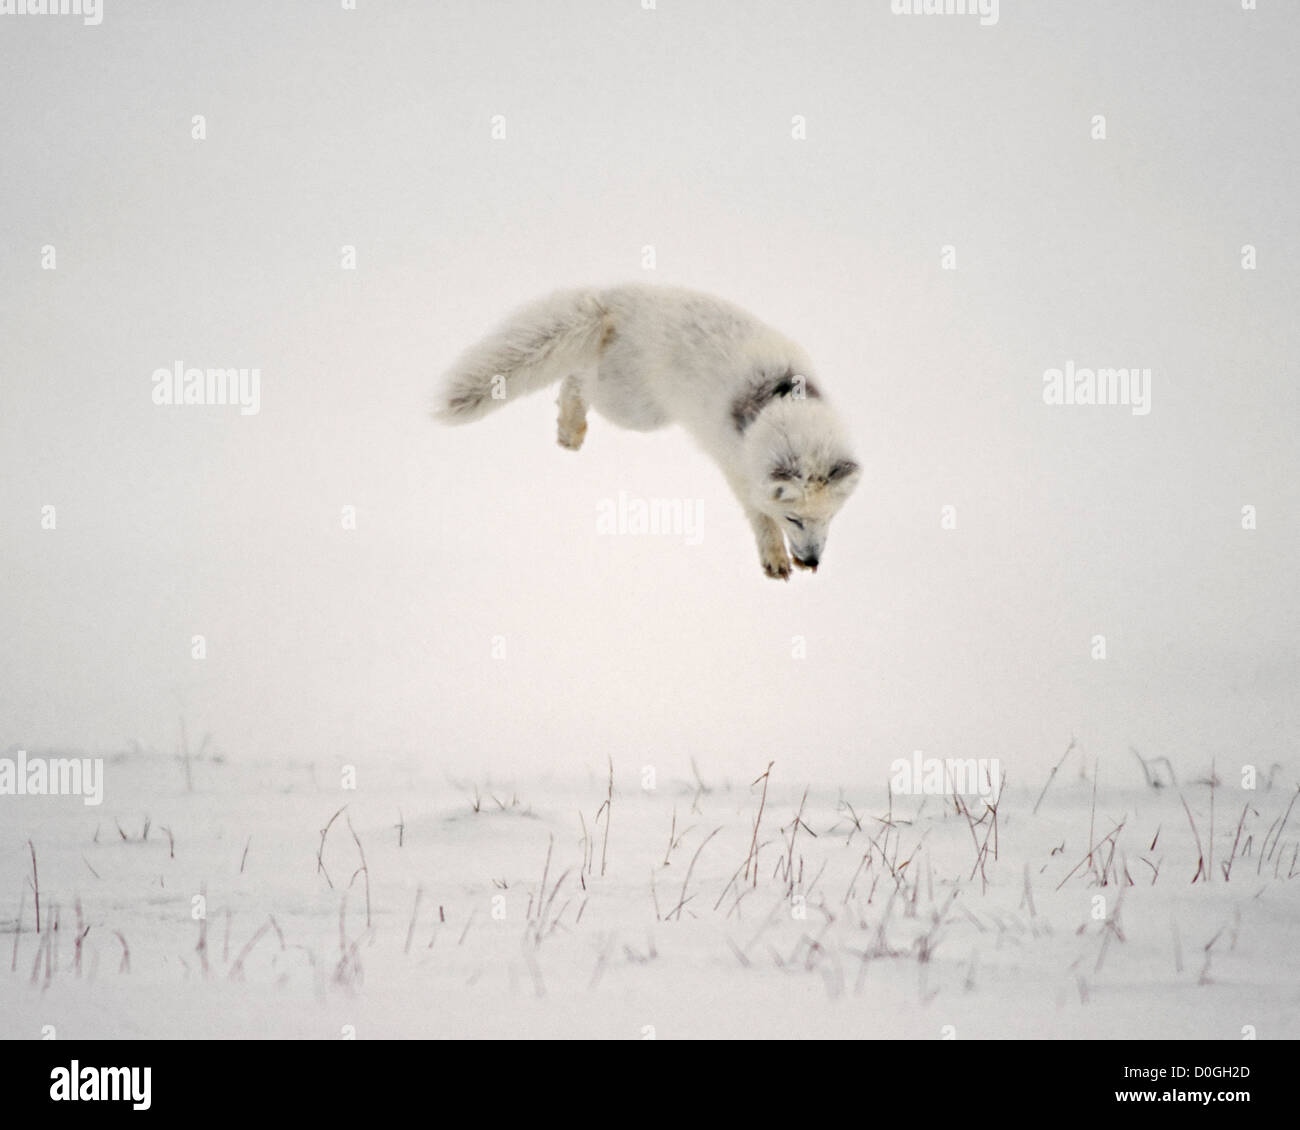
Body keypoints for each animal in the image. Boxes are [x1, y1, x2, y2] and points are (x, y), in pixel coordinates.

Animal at [434, 284, 861, 579]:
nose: (812, 560)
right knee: (575, 380)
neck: (781, 401)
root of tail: (617, 300)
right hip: (631, 409)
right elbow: (759, 517)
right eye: (793, 518)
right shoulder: (738, 472)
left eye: (831, 516)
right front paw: (774, 557)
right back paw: (570, 428)